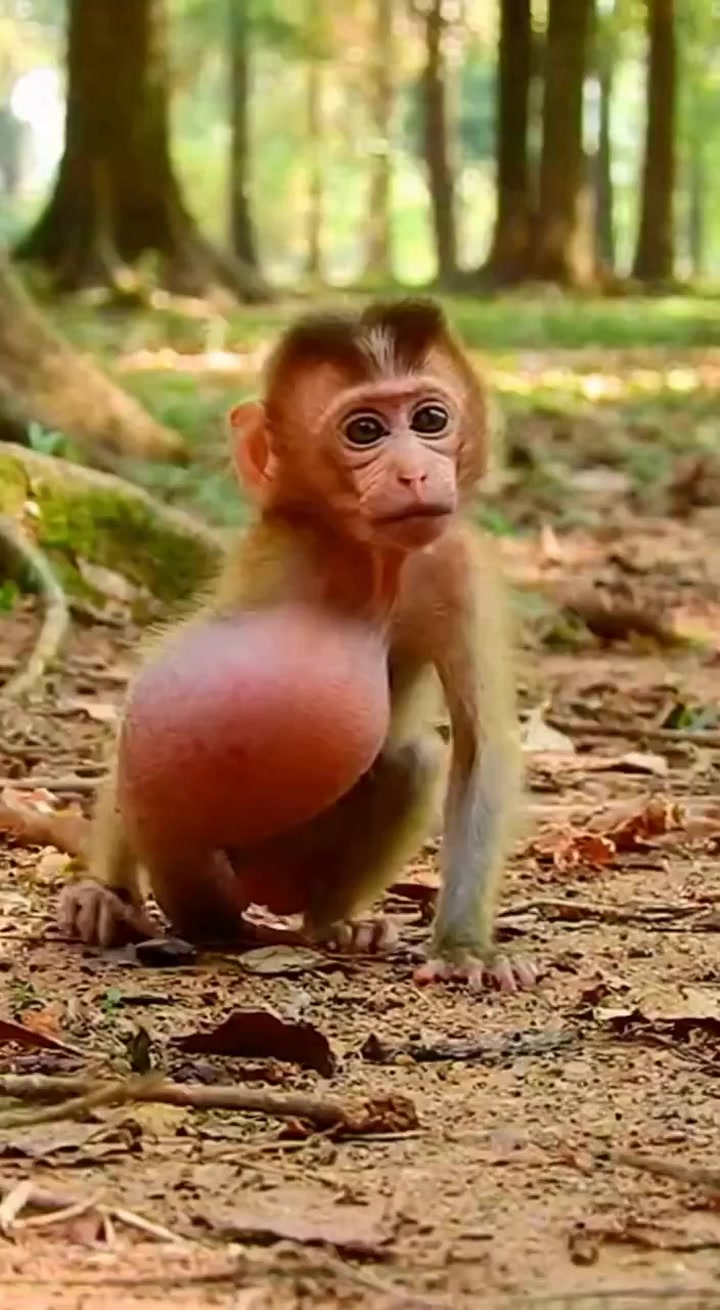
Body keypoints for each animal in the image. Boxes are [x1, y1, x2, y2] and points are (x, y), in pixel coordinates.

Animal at [58, 299, 534, 992]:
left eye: (430, 420)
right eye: (364, 431)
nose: (415, 471)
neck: (365, 560)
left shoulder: (455, 562)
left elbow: (482, 744)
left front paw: (464, 945)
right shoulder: (276, 557)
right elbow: (145, 710)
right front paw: (108, 890)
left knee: (414, 759)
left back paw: (332, 923)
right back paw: (131, 906)